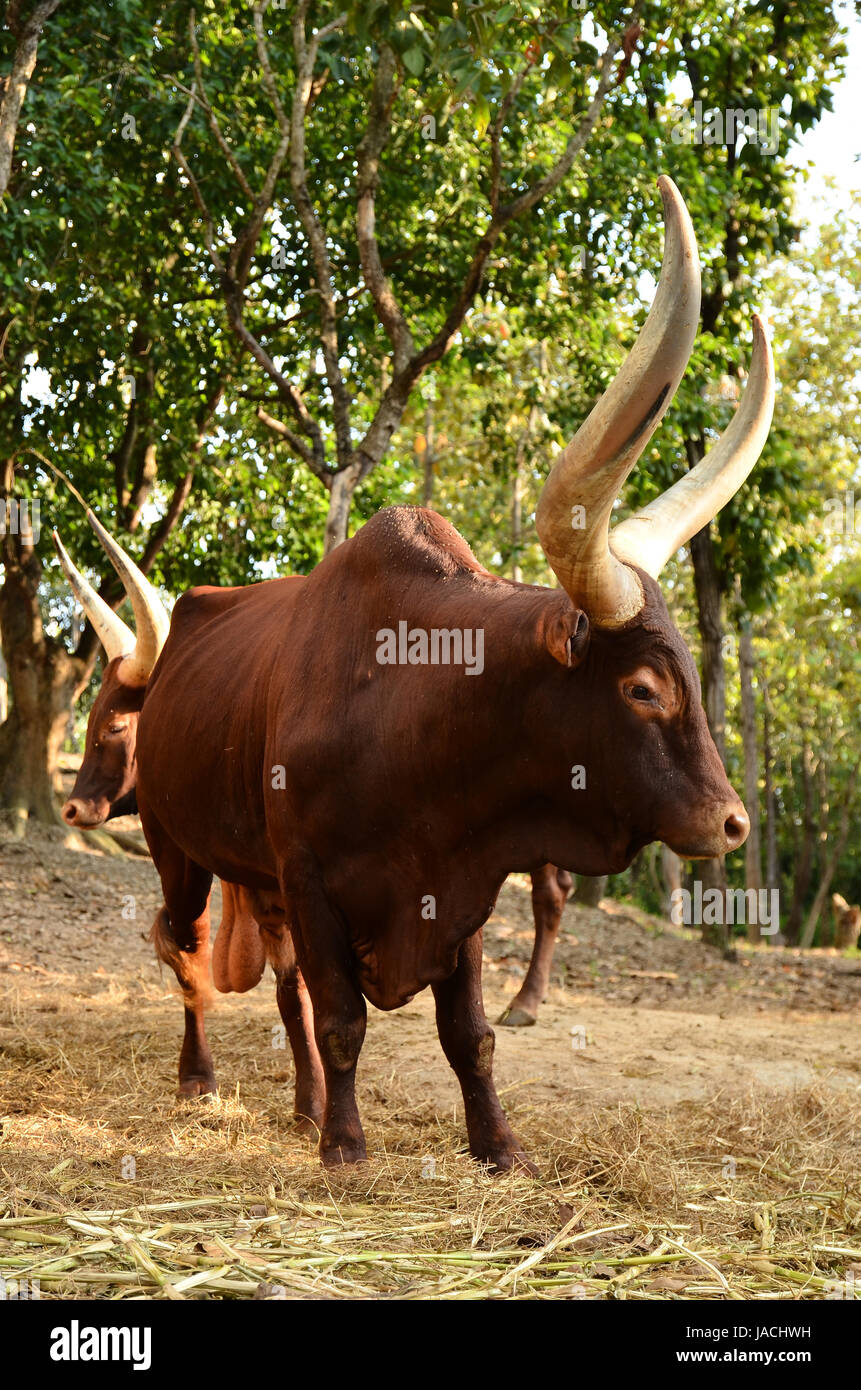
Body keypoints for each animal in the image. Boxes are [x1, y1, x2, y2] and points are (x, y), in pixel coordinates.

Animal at [65, 177, 774, 1172]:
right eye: (640, 687)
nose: (731, 822)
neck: (412, 715)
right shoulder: (311, 881)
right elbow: (341, 1021)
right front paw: (346, 1146)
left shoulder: (460, 886)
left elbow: (465, 1034)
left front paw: (495, 1146)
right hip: (179, 847)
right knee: (190, 952)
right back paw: (201, 1080)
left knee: (273, 987)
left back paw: (299, 1106)